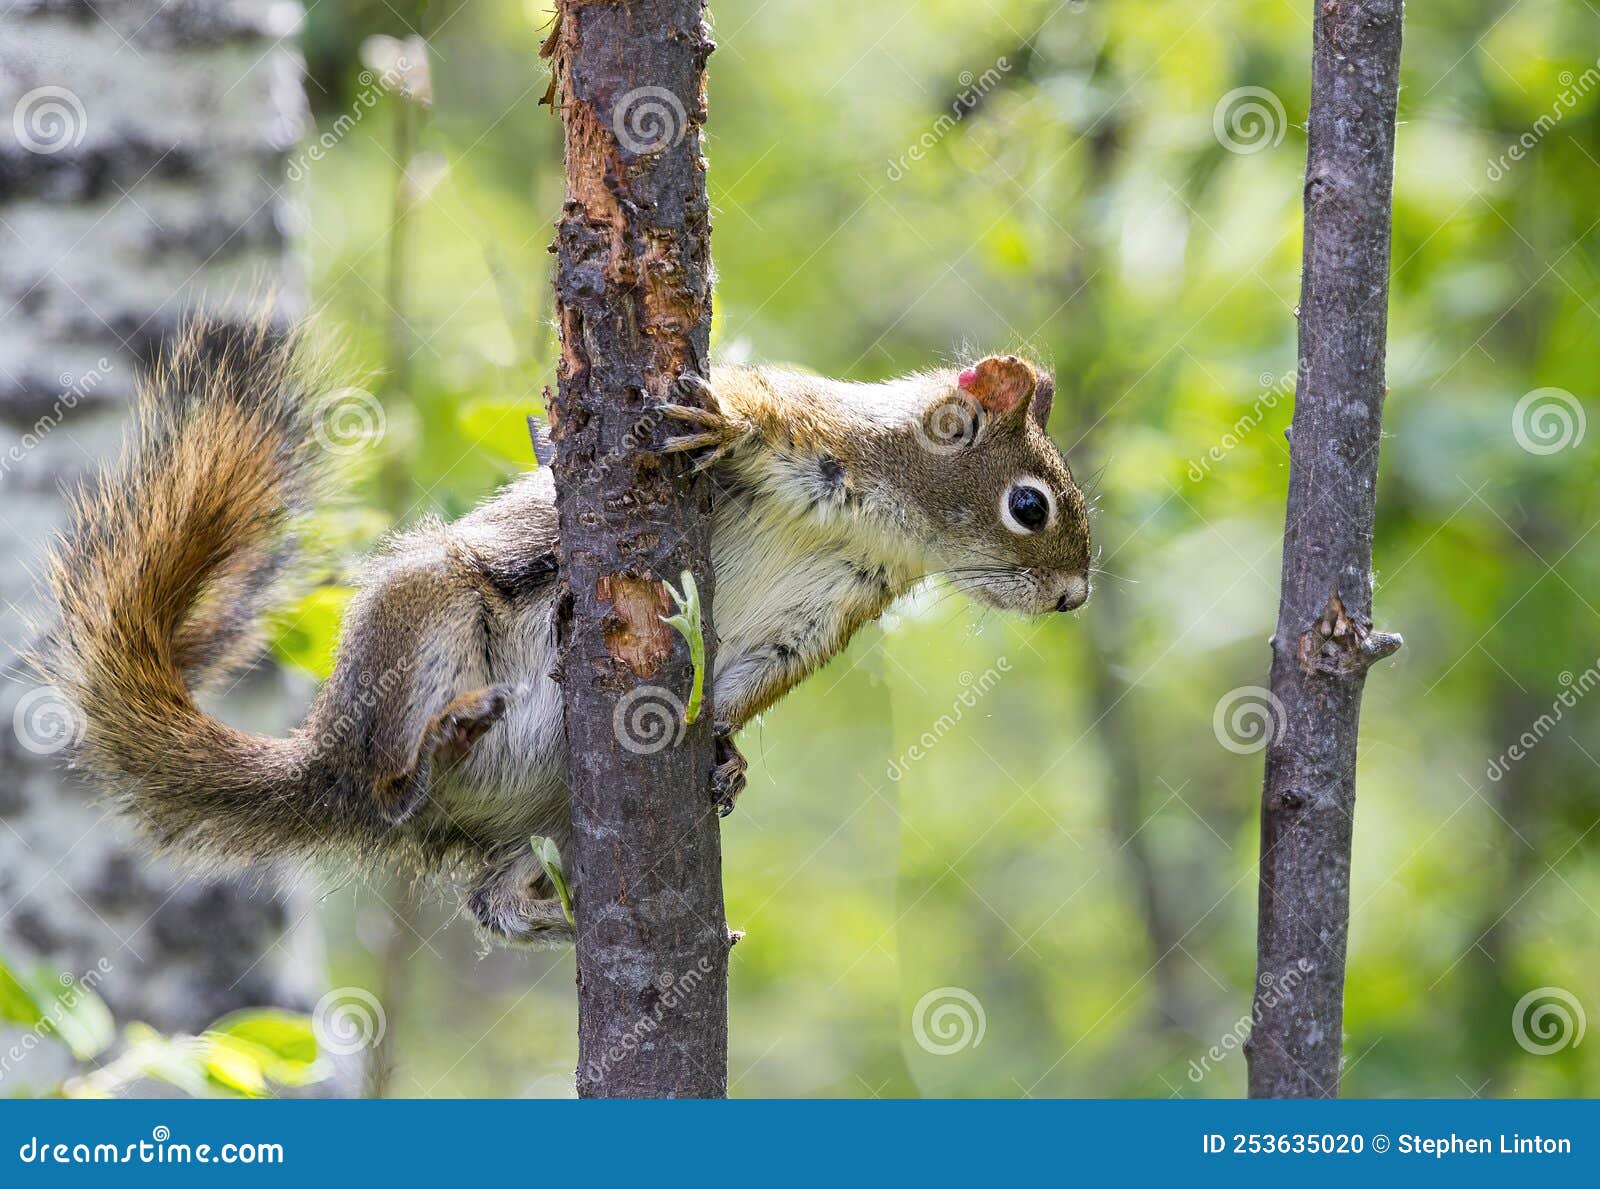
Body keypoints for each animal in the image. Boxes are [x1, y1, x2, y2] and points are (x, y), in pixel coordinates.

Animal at [34, 320, 1092, 947]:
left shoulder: (820, 615)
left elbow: (749, 680)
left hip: (536, 820)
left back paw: (559, 915)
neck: (875, 520)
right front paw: (713, 427)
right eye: (1029, 504)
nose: (1075, 597)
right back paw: (430, 747)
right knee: (386, 784)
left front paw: (725, 753)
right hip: (429, 617)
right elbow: (748, 410)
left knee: (489, 902)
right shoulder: (807, 422)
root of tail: (320, 760)